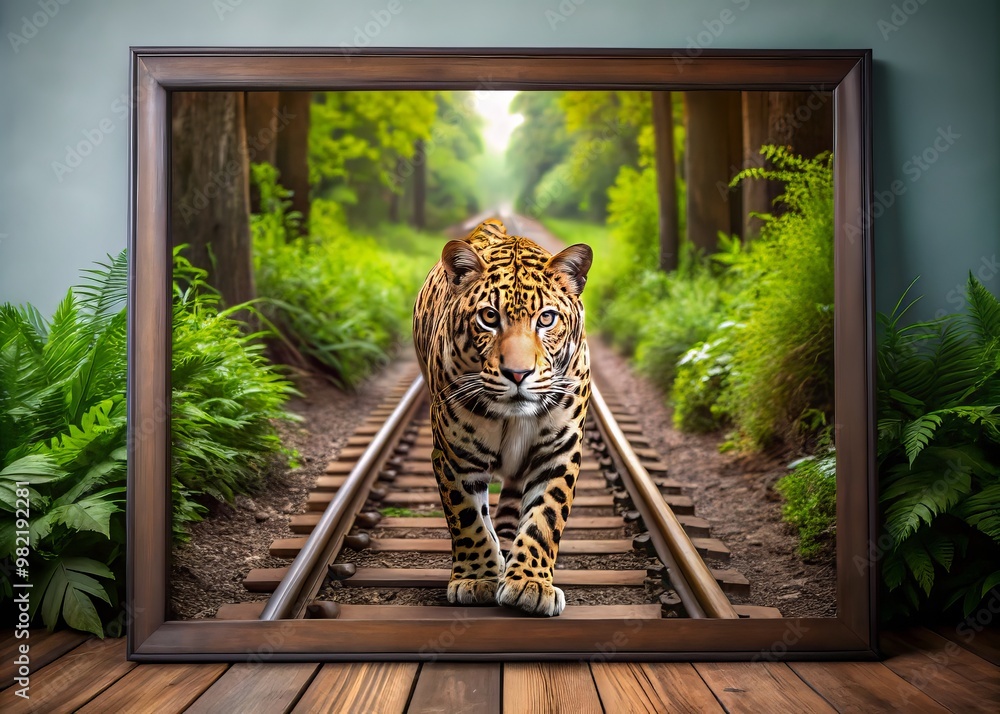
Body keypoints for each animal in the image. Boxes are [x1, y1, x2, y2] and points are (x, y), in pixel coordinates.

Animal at [412, 218, 593, 617]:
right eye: (489, 317)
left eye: (546, 319)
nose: (517, 373)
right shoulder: (455, 455)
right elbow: (468, 519)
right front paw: (476, 578)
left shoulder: (559, 451)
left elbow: (544, 518)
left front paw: (530, 583)